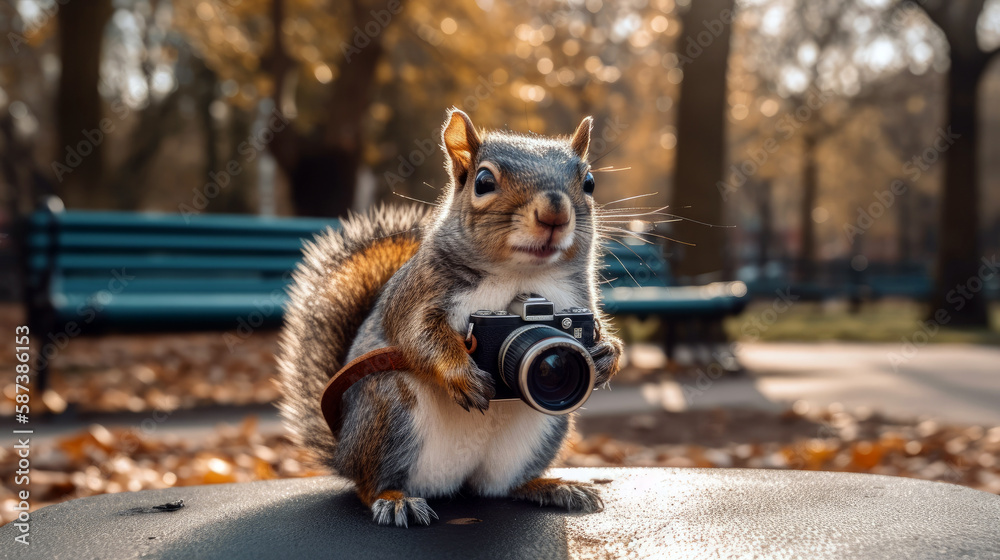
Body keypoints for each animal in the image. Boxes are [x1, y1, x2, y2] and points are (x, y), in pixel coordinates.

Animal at [278, 108, 624, 527]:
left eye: (589, 182)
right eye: (484, 181)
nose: (554, 212)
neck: (521, 280)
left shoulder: (578, 302)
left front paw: (606, 353)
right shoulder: (418, 296)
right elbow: (419, 335)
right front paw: (462, 375)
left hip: (544, 430)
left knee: (504, 488)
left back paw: (553, 486)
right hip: (389, 409)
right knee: (367, 485)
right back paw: (395, 499)